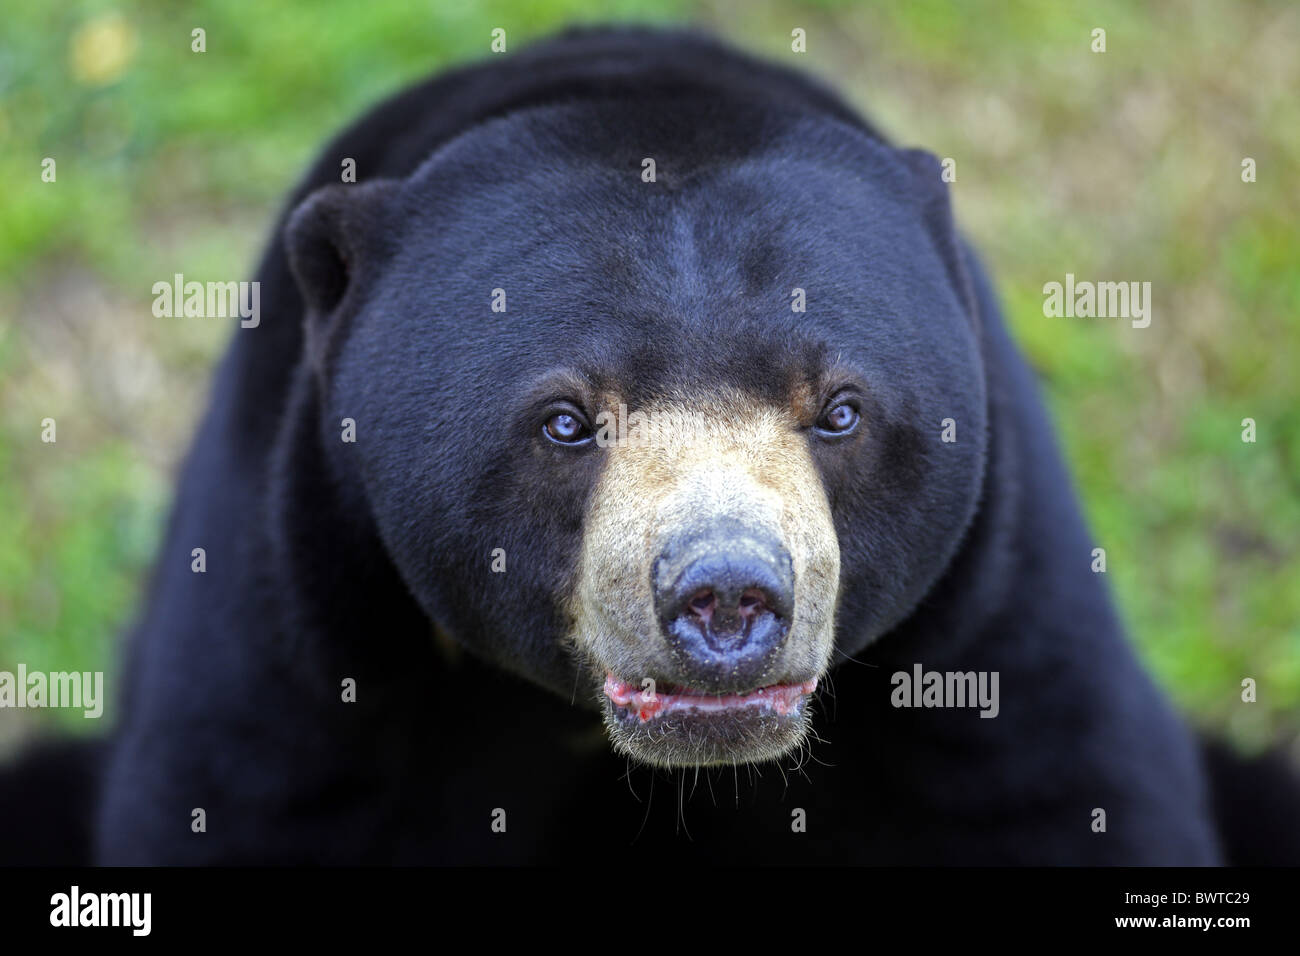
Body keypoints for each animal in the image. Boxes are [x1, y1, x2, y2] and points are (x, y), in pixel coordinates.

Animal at [20, 25, 1279, 864]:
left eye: (840, 408)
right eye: (565, 420)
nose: (725, 596)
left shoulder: (998, 585)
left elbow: (1058, 787)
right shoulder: (295, 595)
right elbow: (248, 794)